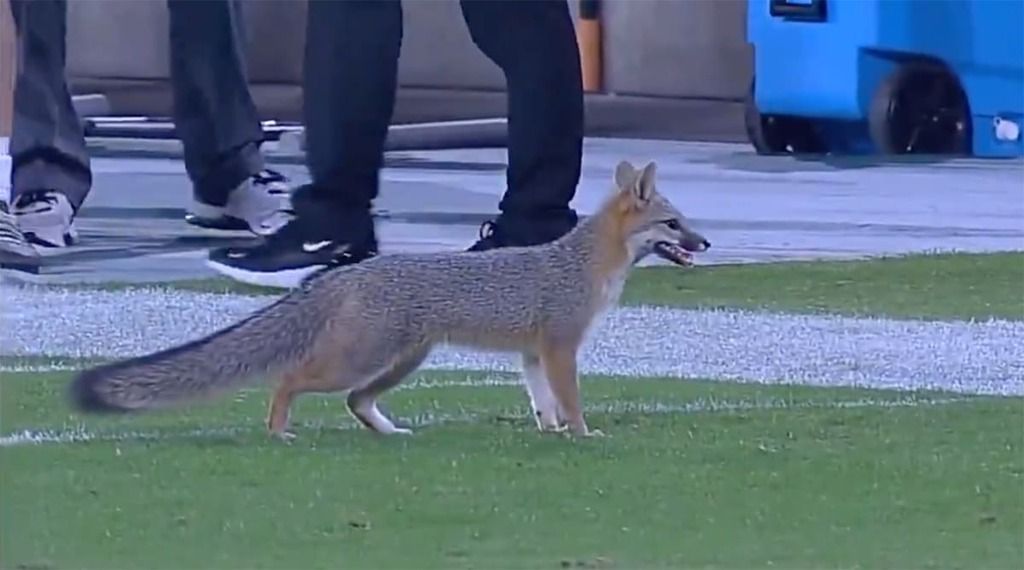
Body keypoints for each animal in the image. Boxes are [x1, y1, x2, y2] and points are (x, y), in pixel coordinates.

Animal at [69, 160, 710, 438]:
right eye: (674, 225)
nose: (705, 242)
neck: (583, 261)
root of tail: (350, 272)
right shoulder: (559, 347)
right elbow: (570, 400)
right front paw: (581, 433)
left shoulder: (533, 355)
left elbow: (542, 402)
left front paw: (551, 431)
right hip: (363, 359)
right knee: (289, 379)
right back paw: (279, 431)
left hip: (399, 362)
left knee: (356, 402)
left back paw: (388, 433)